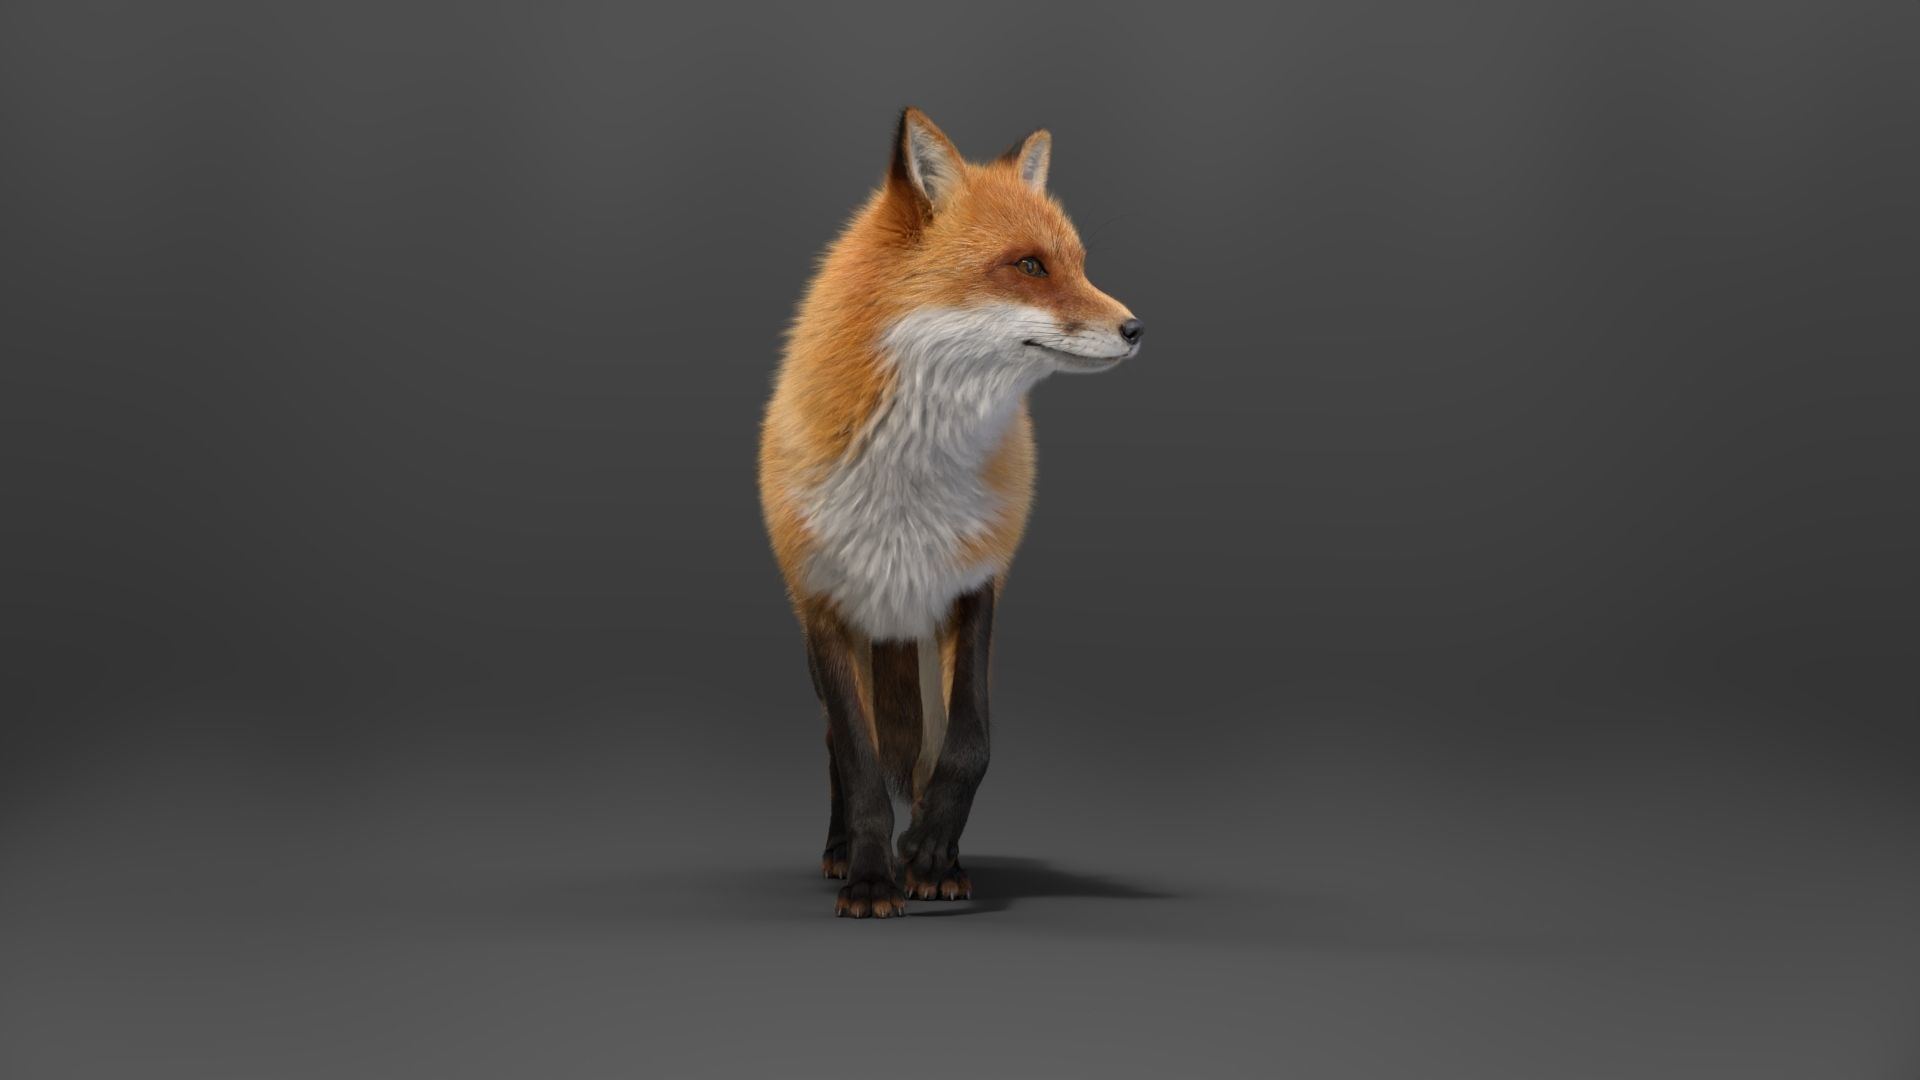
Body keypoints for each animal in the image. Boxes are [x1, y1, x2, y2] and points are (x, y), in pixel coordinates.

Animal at [758, 108, 1141, 918]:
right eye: (1029, 266)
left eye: (1078, 263)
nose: (1137, 328)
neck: (910, 486)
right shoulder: (828, 605)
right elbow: (860, 763)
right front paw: (873, 876)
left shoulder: (974, 583)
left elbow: (969, 744)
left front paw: (931, 852)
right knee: (835, 750)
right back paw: (840, 851)